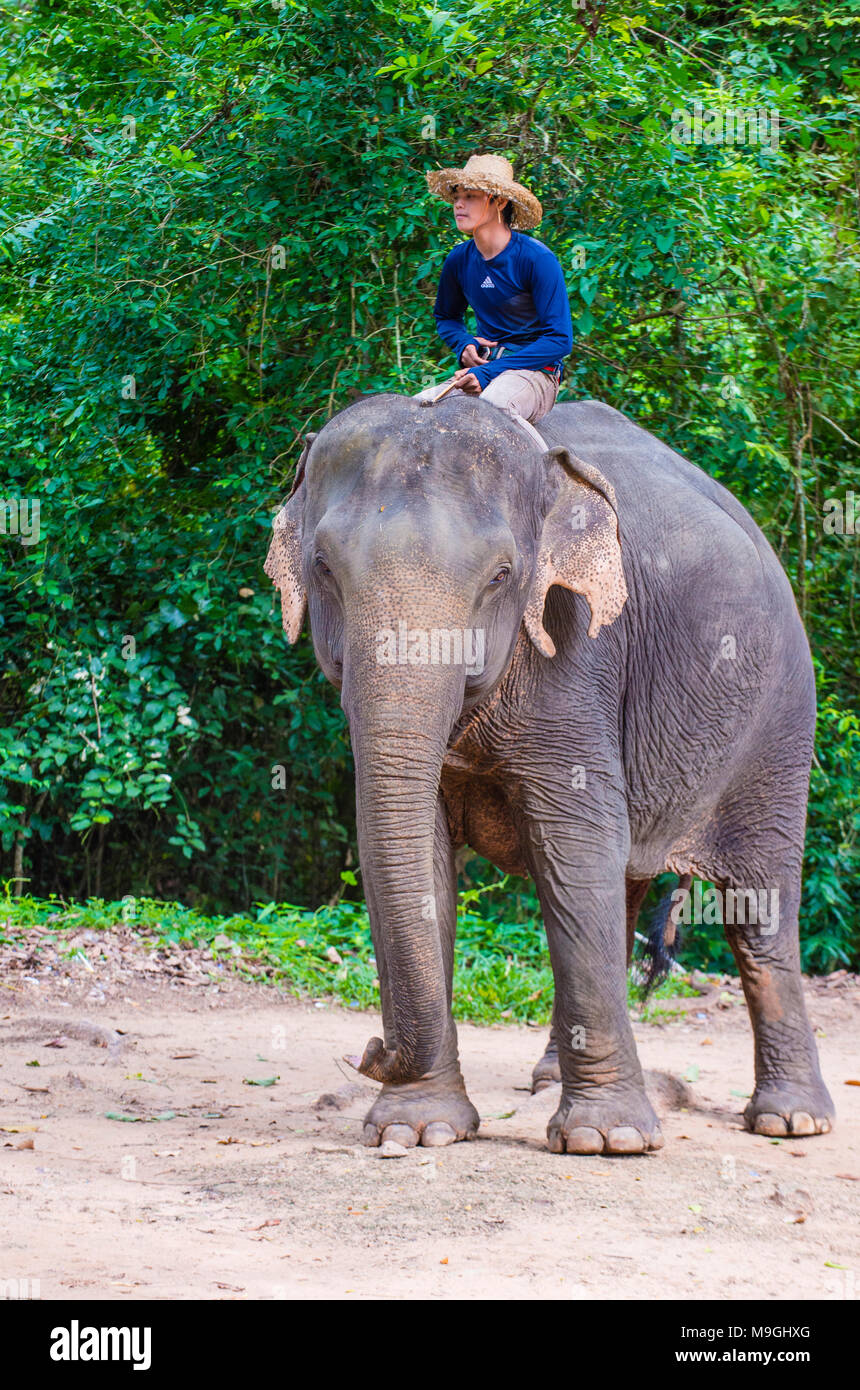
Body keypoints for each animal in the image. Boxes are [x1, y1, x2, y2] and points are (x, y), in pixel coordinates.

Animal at [264, 392, 835, 1155]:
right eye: (324, 568)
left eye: (501, 577)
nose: (370, 1050)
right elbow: (429, 863)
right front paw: (419, 1130)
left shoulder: (579, 650)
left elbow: (575, 844)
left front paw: (606, 1140)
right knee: (624, 888)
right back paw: (547, 1078)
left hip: (780, 721)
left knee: (757, 903)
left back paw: (791, 1121)